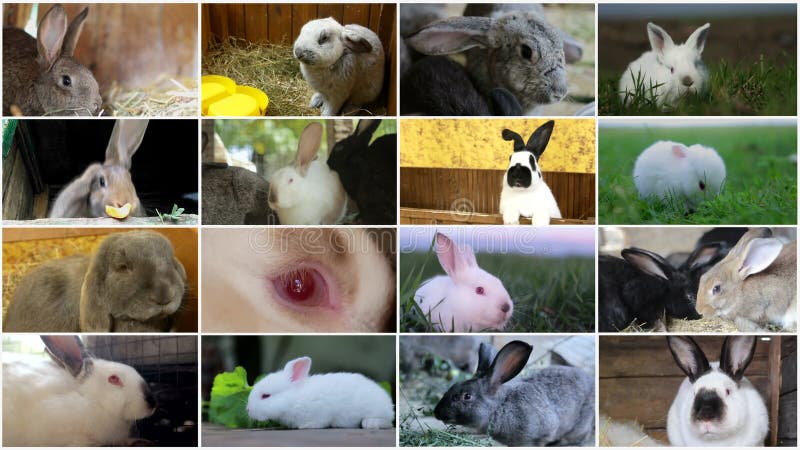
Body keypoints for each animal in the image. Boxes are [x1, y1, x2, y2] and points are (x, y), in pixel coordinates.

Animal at [246, 356, 394, 429]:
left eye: (266, 396)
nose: (248, 409)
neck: (294, 399)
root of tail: (389, 404)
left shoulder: (321, 410)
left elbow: (319, 422)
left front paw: (305, 426)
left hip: (377, 411)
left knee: (386, 422)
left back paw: (370, 423)